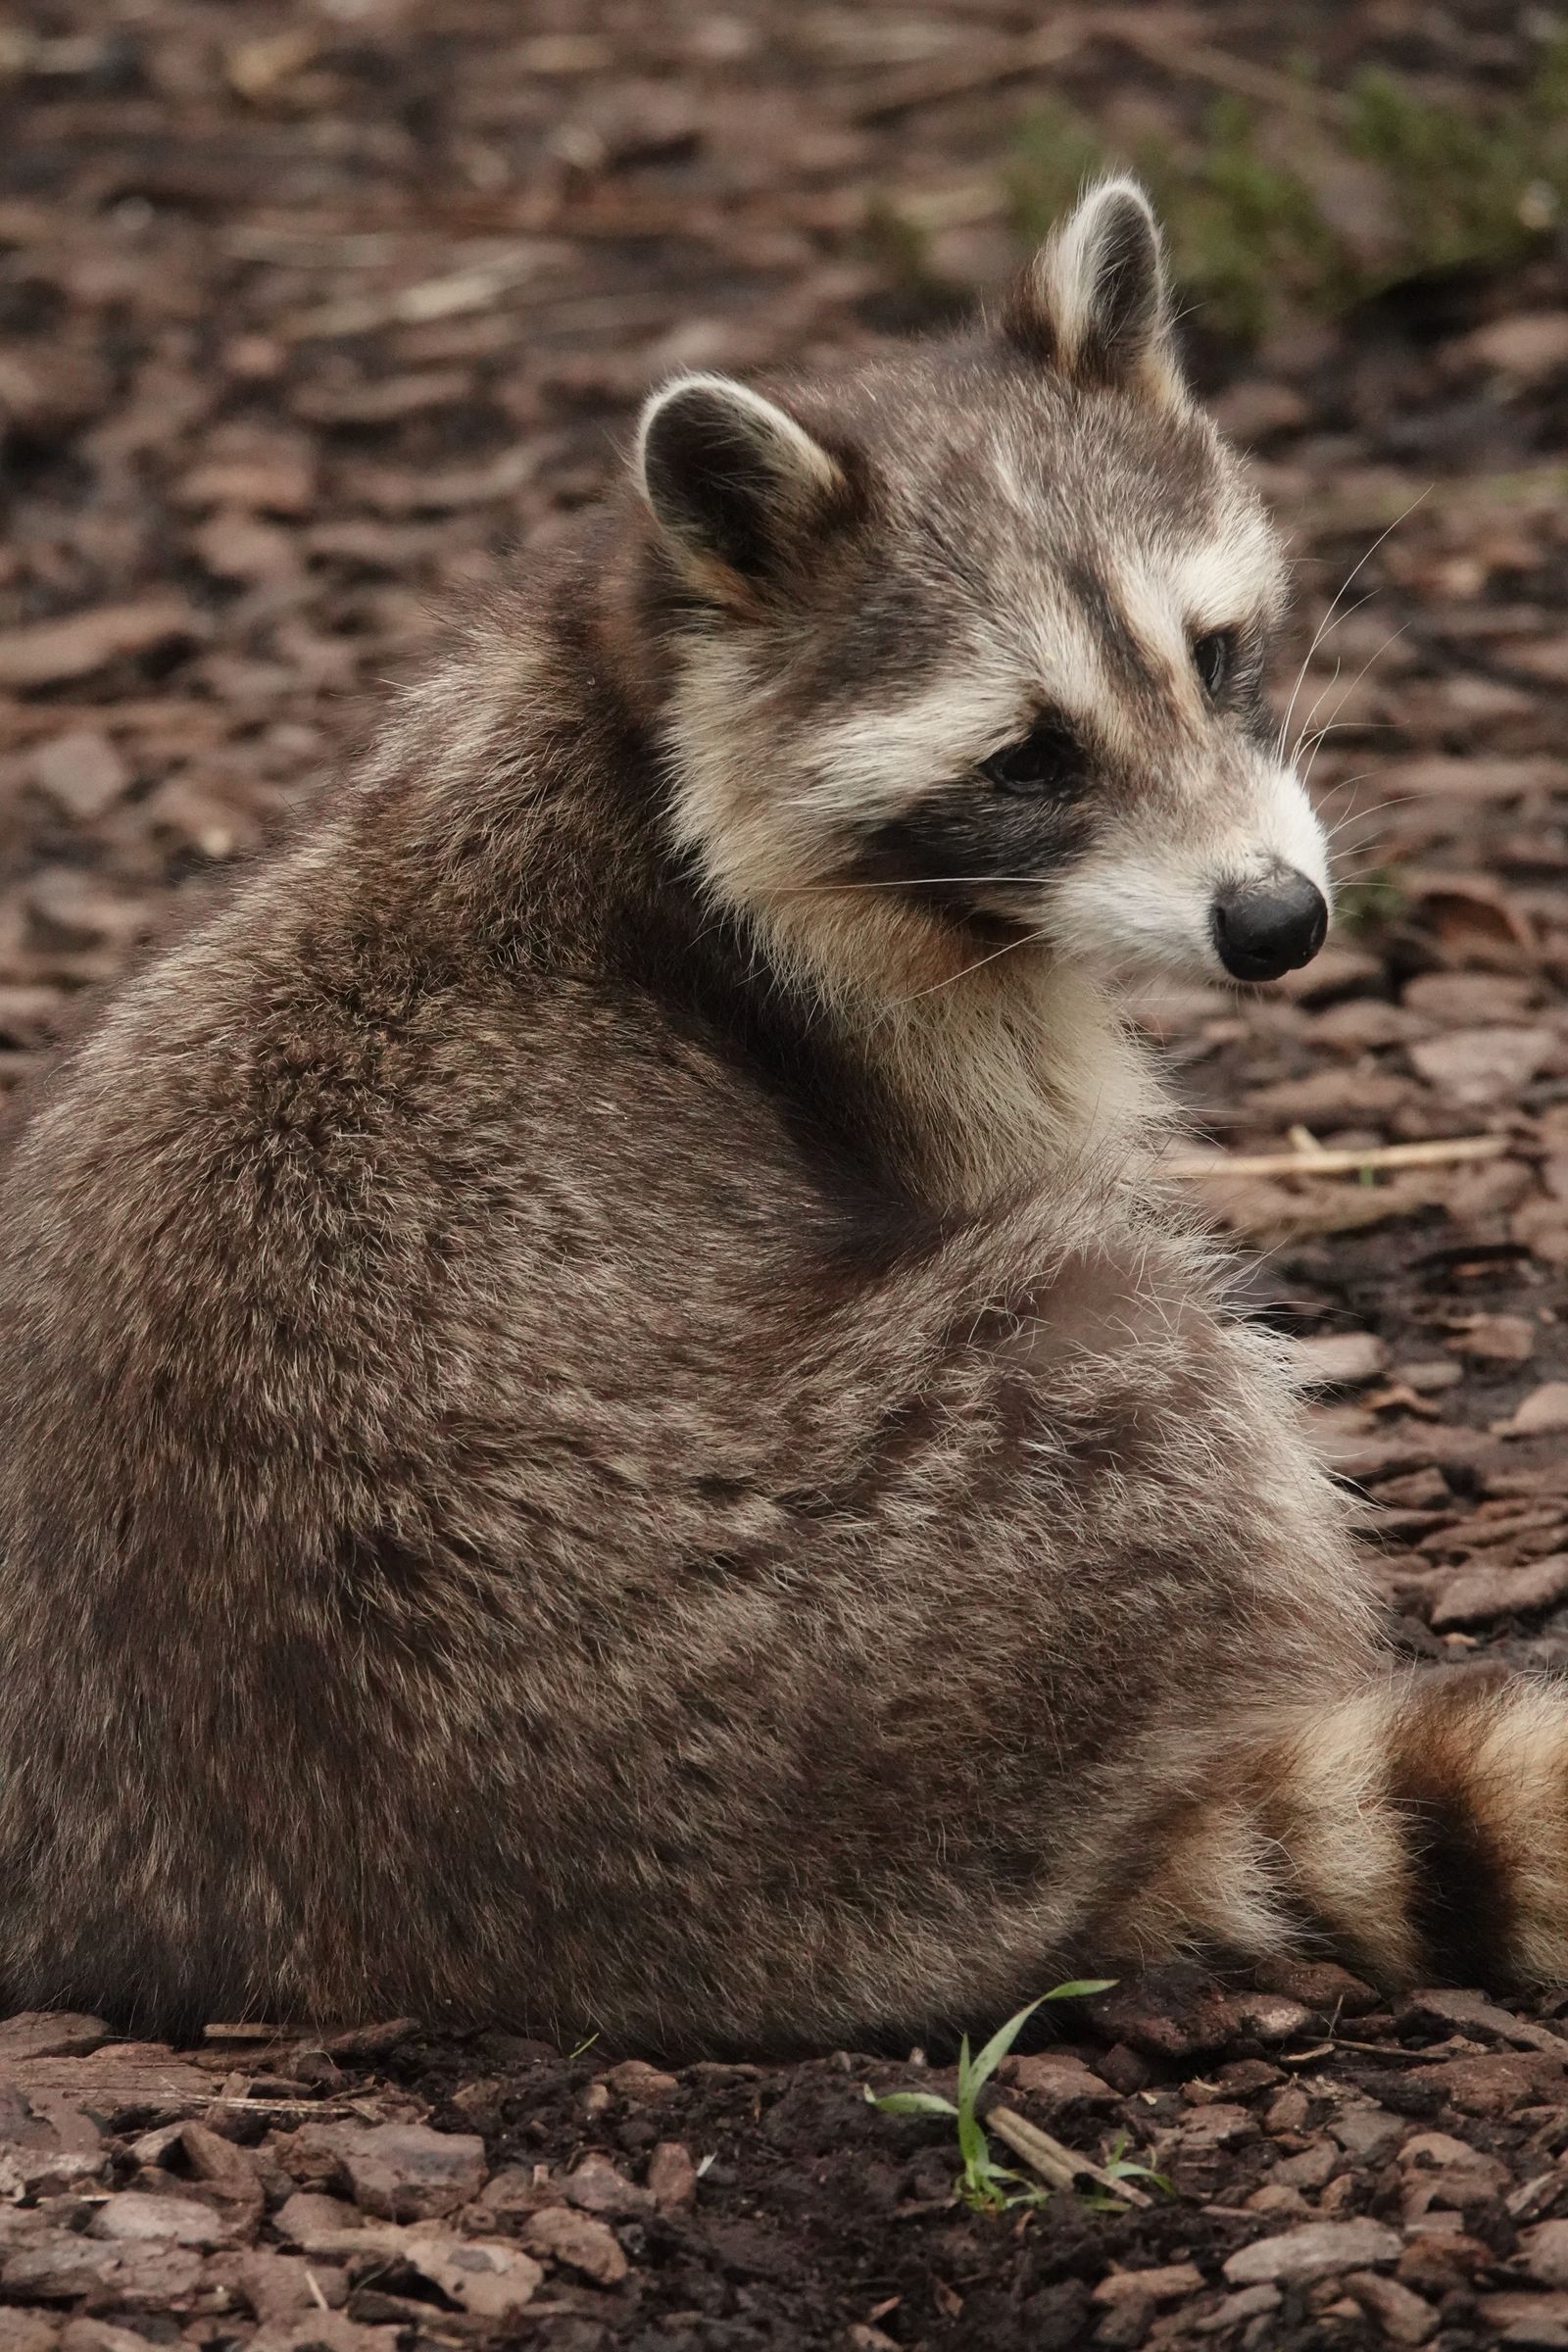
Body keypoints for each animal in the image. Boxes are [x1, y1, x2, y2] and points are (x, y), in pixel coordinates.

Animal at [0, 180, 1561, 2048]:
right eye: (1028, 758)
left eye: (1215, 654)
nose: (1277, 923)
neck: (647, 694)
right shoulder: (898, 1041)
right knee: (1134, 1336)